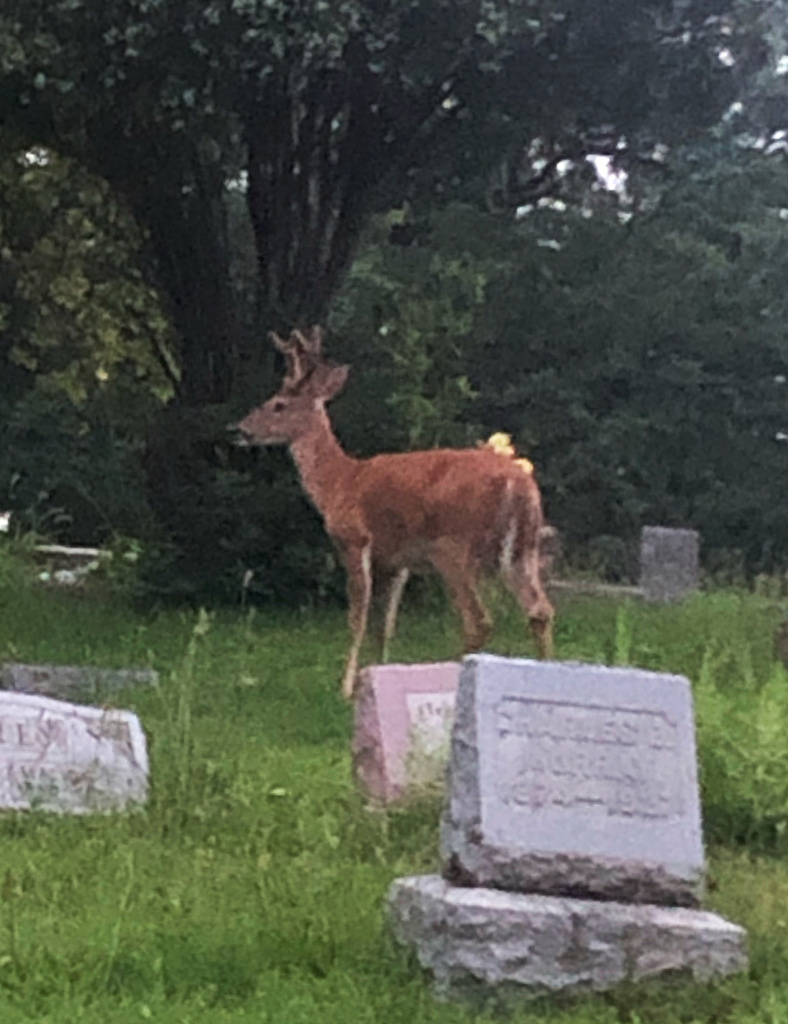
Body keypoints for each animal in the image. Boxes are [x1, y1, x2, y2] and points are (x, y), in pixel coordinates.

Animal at [232, 325, 555, 699]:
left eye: (278, 405)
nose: (239, 429)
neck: (339, 482)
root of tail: (519, 482)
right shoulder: (396, 561)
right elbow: (384, 624)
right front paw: (379, 673)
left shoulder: (354, 540)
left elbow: (357, 618)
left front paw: (346, 687)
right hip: (522, 550)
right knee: (540, 610)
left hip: (453, 546)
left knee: (479, 620)